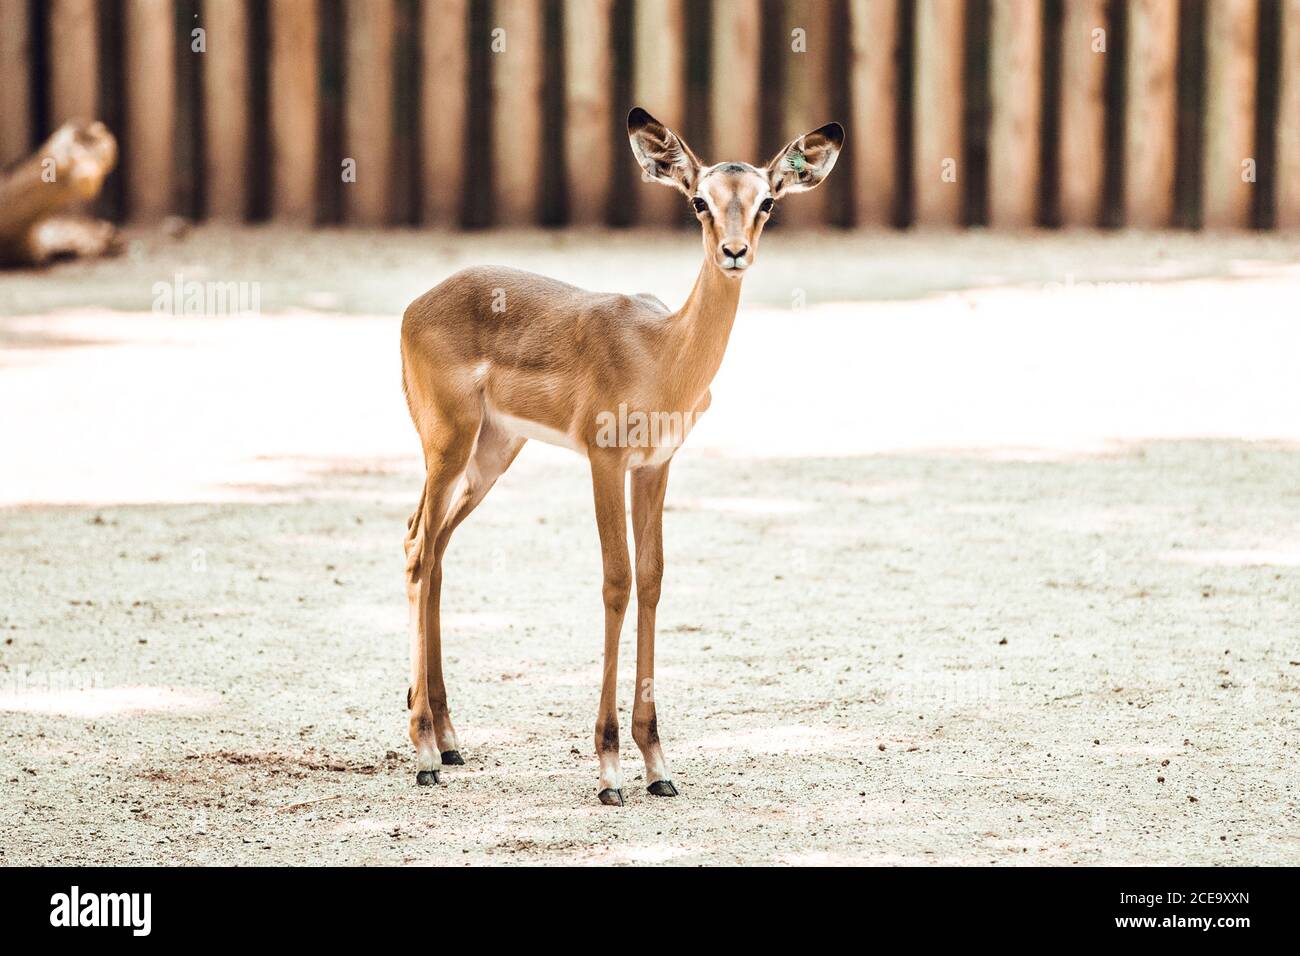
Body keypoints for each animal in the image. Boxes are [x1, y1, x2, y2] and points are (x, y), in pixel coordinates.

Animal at [400, 107, 843, 804]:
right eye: (698, 201)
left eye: (766, 201)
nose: (734, 252)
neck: (660, 353)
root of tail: (417, 306)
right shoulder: (604, 462)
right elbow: (616, 581)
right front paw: (609, 768)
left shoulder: (655, 467)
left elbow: (653, 578)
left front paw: (657, 764)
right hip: (446, 445)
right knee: (419, 548)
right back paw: (422, 752)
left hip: (491, 454)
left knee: (437, 549)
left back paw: (449, 741)